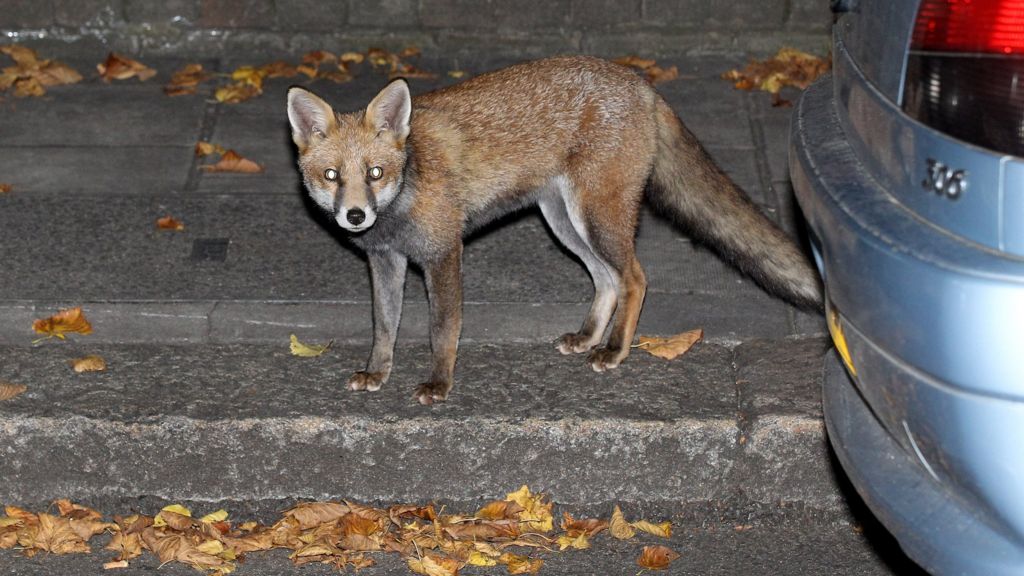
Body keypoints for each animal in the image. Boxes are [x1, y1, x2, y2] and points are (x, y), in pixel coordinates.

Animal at [286, 55, 822, 405]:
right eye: (332, 176)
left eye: (375, 173)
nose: (356, 217)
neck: (402, 201)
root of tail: (637, 80)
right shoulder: (386, 260)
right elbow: (384, 325)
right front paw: (377, 373)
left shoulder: (443, 254)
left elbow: (443, 329)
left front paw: (439, 384)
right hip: (564, 222)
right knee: (607, 280)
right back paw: (587, 337)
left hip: (597, 217)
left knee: (635, 278)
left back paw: (613, 351)